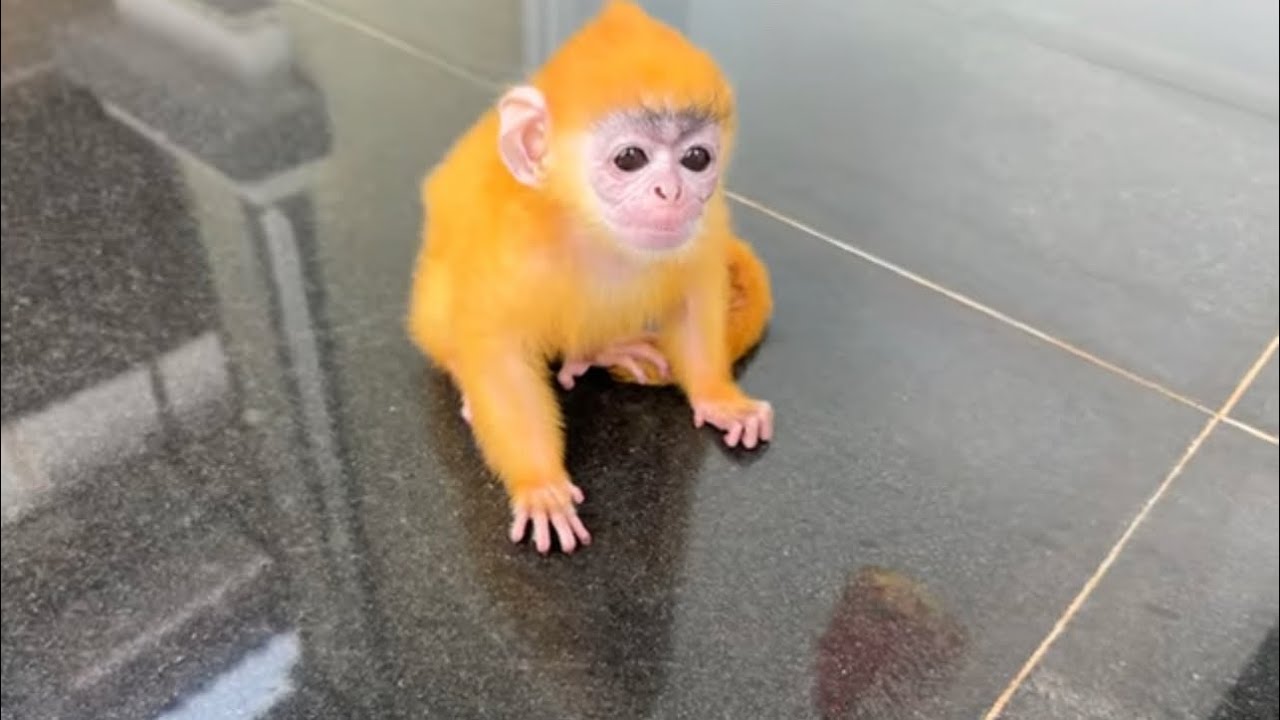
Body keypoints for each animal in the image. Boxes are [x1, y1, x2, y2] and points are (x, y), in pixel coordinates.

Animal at [406, 0, 774, 555]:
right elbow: (498, 349)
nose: (672, 192)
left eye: (696, 159)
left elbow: (694, 295)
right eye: (630, 158)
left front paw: (718, 397)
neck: (589, 226)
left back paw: (598, 352)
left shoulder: (705, 224)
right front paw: (539, 483)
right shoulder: (512, 247)